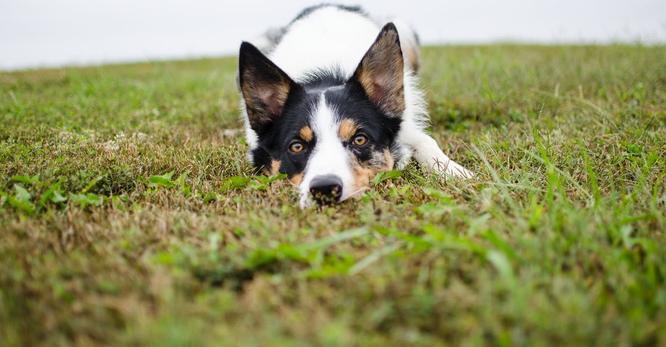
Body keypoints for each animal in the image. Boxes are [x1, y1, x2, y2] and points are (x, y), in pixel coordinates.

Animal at [239, 3, 472, 207]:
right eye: (296, 146)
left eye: (360, 139)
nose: (325, 189)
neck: (326, 76)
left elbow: (426, 142)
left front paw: (454, 172)